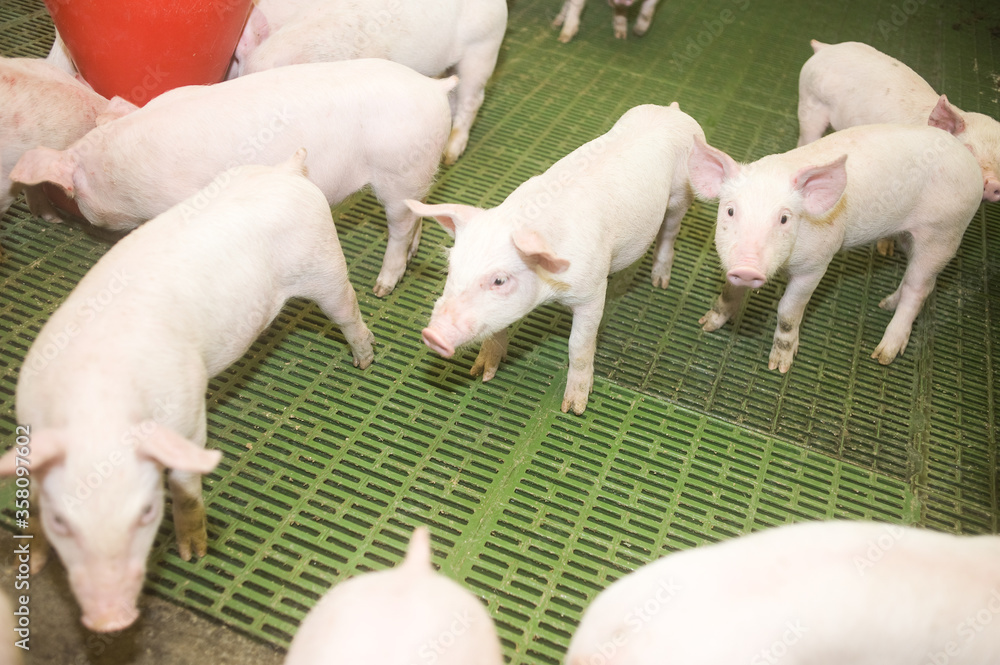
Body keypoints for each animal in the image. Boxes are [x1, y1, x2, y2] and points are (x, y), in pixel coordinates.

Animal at [0, 150, 375, 632]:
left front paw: (194, 555)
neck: (96, 405)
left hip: (325, 264)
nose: (110, 619)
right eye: (61, 521)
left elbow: (185, 480)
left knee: (349, 310)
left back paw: (364, 360)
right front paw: (28, 564)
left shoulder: (187, 412)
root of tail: (287, 171)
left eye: (146, 511)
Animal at [10, 59, 455, 296]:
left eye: (77, 193)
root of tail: (433, 87)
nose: (75, 214)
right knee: (417, 216)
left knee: (399, 227)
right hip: (415, 176)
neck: (123, 167)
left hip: (398, 170)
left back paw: (382, 287)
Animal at [406, 103, 704, 415]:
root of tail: (673, 110)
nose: (432, 334)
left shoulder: (592, 293)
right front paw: (480, 373)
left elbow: (579, 345)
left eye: (499, 280)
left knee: (669, 231)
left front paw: (574, 408)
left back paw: (660, 282)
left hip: (682, 193)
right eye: (452, 266)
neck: (550, 291)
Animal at [688, 123, 982, 372]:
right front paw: (706, 325)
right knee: (923, 281)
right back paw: (885, 304)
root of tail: (969, 160)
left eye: (784, 218)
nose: (747, 269)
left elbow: (788, 311)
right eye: (730, 211)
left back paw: (883, 354)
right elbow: (729, 291)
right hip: (912, 236)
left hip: (944, 232)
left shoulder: (816, 265)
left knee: (917, 288)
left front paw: (780, 366)